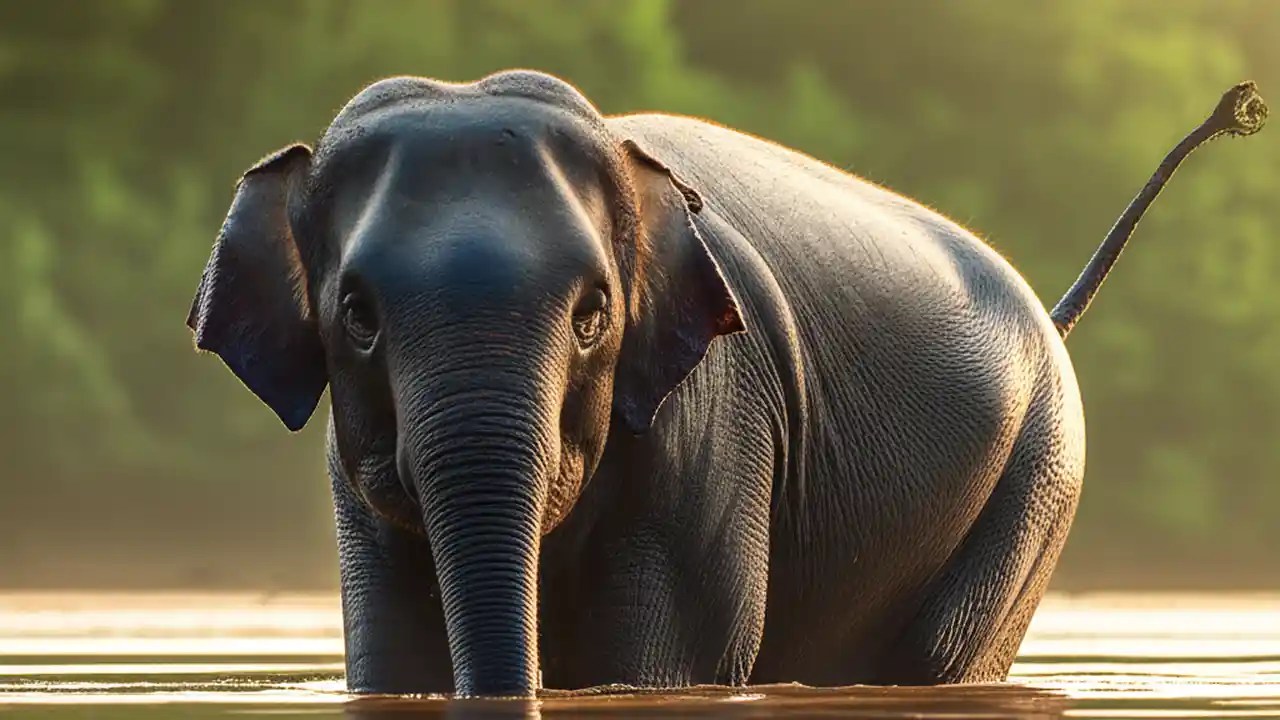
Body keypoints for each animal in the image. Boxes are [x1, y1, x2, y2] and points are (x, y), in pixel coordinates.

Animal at [186, 71, 1266, 697]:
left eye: (594, 315)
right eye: (356, 315)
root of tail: (1049, 310)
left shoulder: (711, 420)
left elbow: (662, 662)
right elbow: (391, 653)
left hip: (1035, 490)